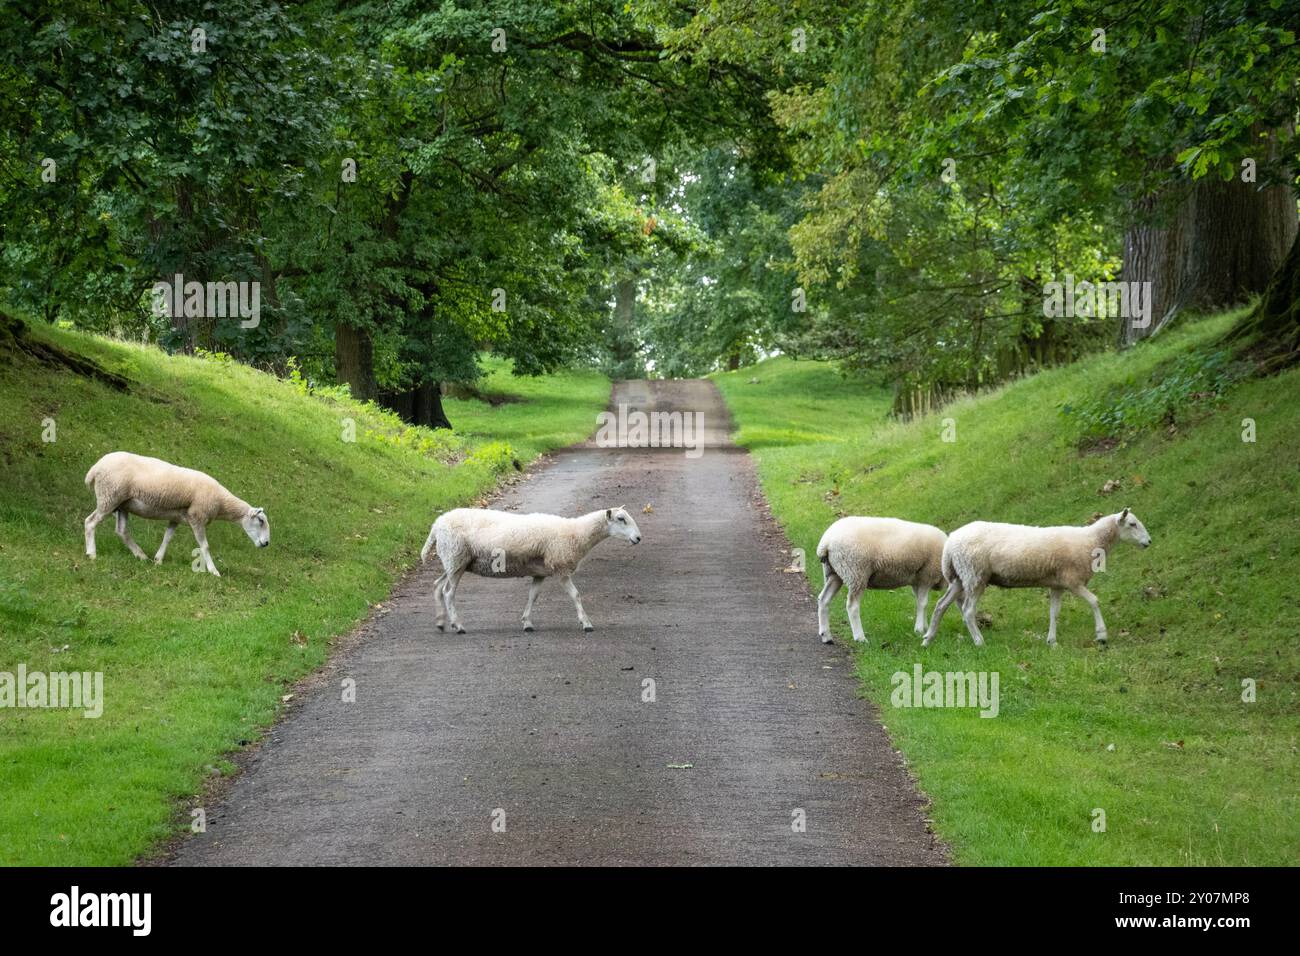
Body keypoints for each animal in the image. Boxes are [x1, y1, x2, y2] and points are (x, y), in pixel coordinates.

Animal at [84, 451, 269, 577]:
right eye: (260, 520)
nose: (267, 543)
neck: (221, 502)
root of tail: (95, 468)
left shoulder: (176, 518)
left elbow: (167, 538)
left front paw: (158, 560)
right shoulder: (197, 517)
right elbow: (205, 546)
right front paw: (214, 571)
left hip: (122, 505)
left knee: (122, 531)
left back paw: (141, 556)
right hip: (109, 496)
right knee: (90, 522)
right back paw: (92, 554)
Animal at [420, 505, 642, 633]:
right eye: (621, 519)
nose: (638, 538)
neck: (577, 533)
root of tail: (436, 524)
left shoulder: (540, 572)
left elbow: (532, 596)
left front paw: (527, 623)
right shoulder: (560, 567)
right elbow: (576, 595)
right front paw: (586, 623)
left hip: (454, 561)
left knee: (437, 586)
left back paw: (440, 622)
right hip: (456, 557)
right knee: (448, 592)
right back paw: (458, 625)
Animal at [815, 516, 948, 645]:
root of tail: (825, 542)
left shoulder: (917, 580)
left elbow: (919, 601)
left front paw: (924, 627)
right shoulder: (926, 576)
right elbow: (923, 603)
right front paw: (919, 629)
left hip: (833, 573)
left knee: (823, 599)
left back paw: (826, 636)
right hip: (856, 572)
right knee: (852, 606)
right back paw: (860, 638)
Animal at [921, 508, 1151, 647]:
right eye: (1132, 524)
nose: (1148, 542)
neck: (1091, 541)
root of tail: (950, 543)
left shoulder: (1058, 584)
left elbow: (1054, 613)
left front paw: (1052, 641)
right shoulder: (1073, 581)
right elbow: (1095, 601)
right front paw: (1102, 634)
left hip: (960, 578)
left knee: (940, 606)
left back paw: (928, 638)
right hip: (975, 576)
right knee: (968, 611)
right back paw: (979, 641)